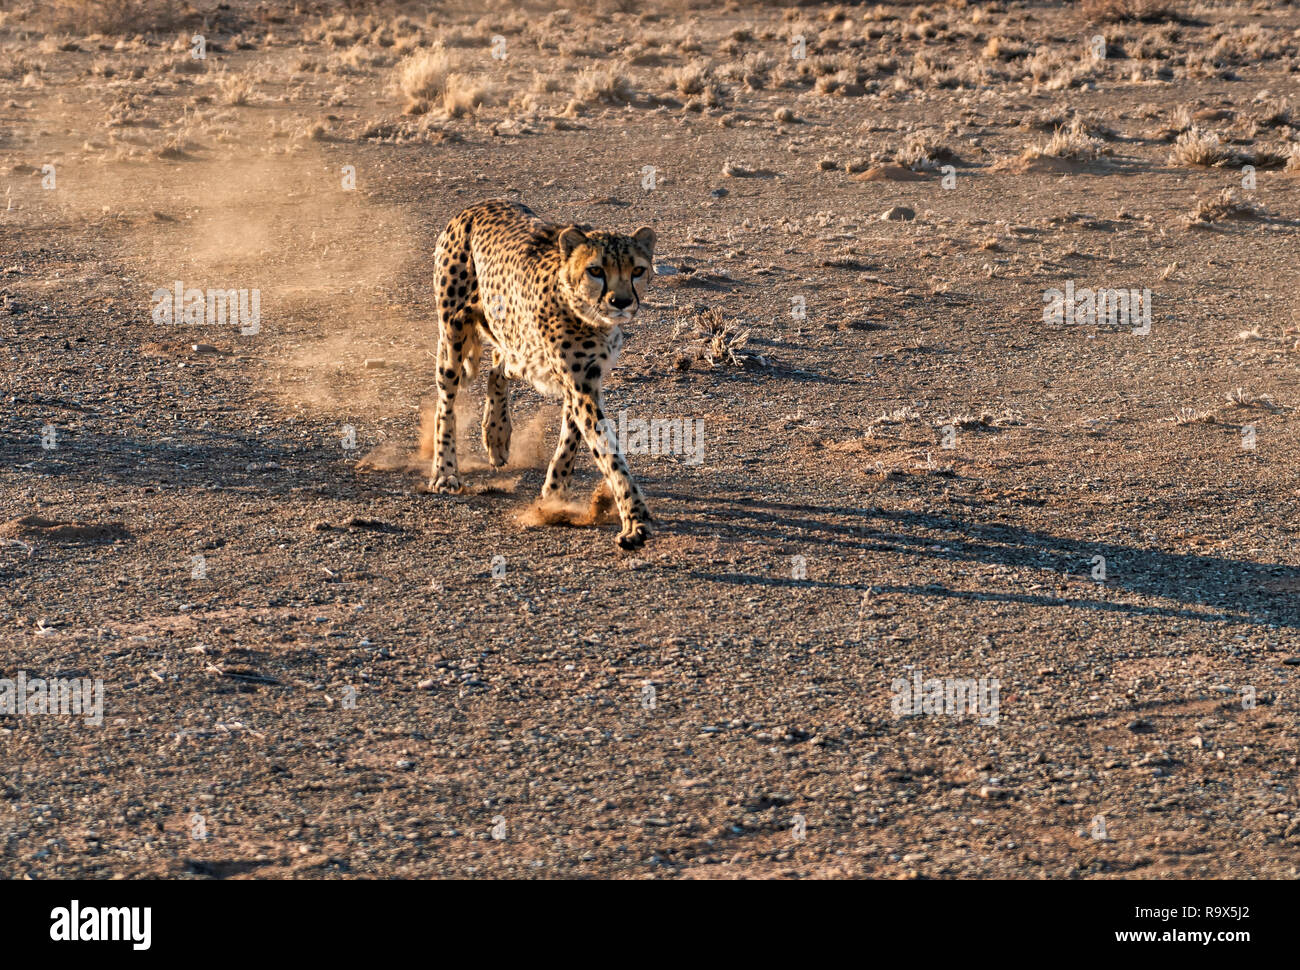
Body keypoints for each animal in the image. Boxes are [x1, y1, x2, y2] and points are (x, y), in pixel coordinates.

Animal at [428, 198, 658, 550]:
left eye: (637, 270)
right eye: (595, 270)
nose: (620, 301)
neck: (587, 314)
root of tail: (479, 204)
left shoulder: (585, 379)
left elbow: (573, 437)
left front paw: (554, 491)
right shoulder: (579, 383)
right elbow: (608, 452)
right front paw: (635, 517)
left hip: (518, 344)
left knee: (499, 365)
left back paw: (496, 436)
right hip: (453, 331)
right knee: (446, 401)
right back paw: (445, 471)